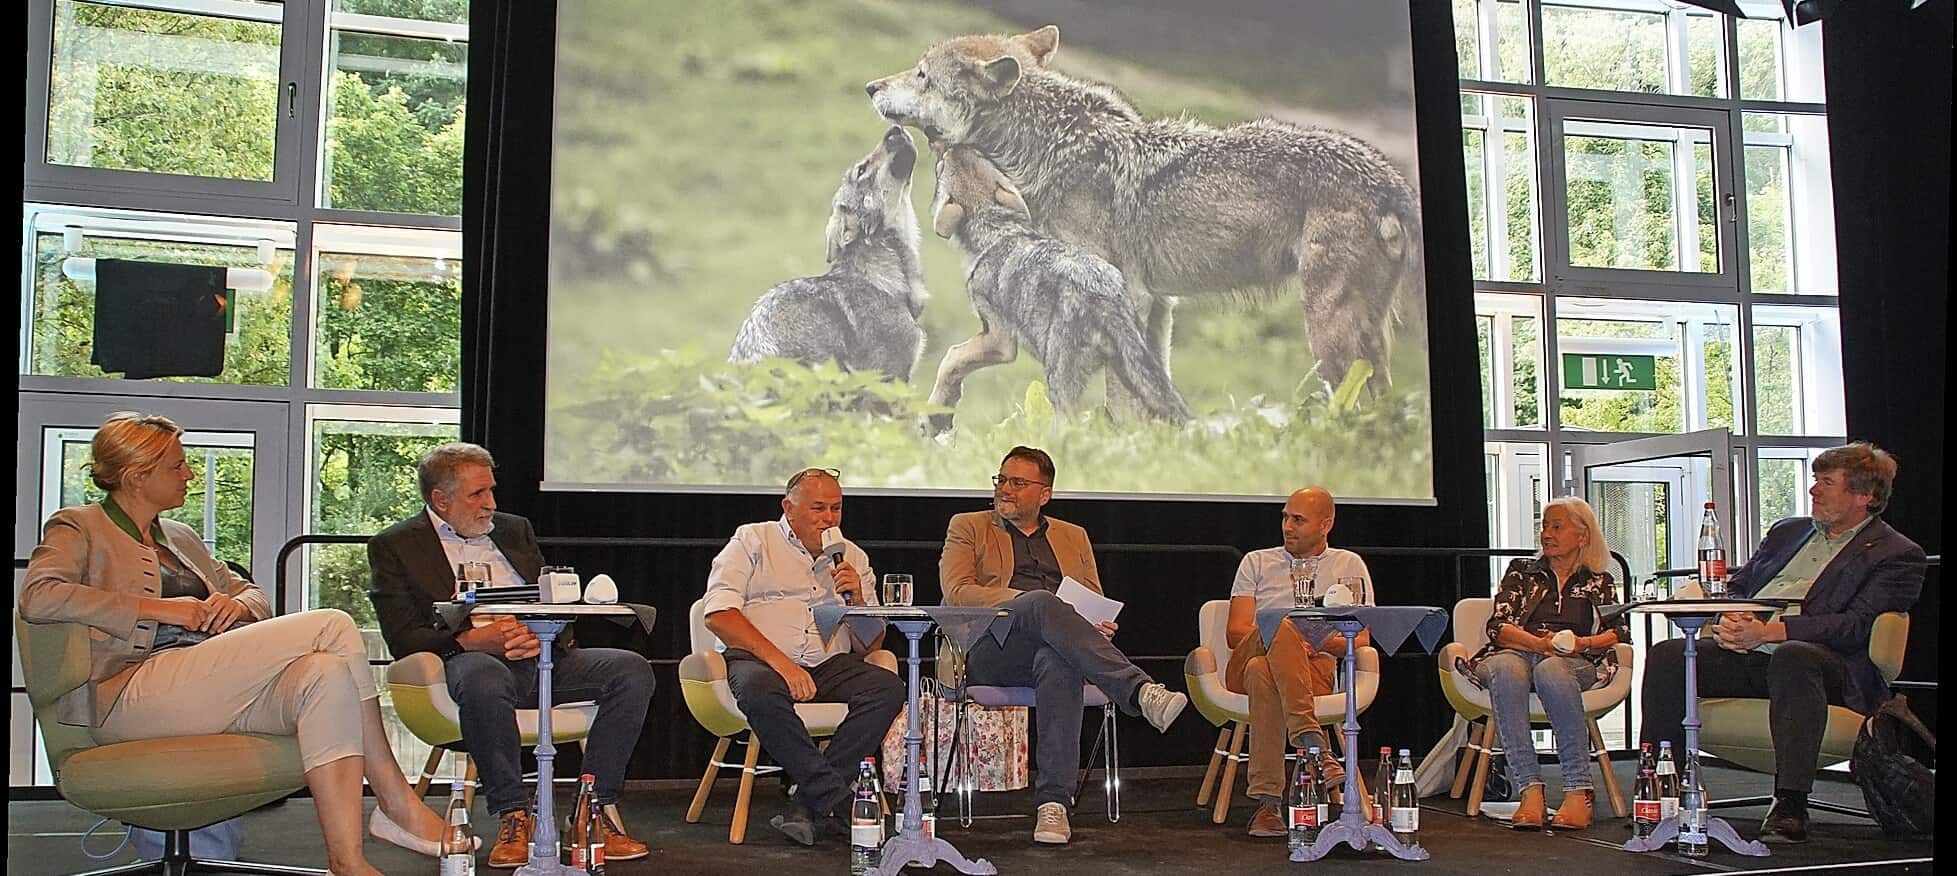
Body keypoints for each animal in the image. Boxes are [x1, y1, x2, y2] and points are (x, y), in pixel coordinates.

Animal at [867, 26, 1425, 396]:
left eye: (921, 75)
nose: (871, 87)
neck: (1046, 146)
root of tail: (1392, 180)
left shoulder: (1126, 295)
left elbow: (1120, 392)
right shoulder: (1157, 304)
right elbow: (1147, 382)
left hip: (1329, 335)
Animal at [927, 144, 1191, 426]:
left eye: (940, 168)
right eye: (979, 155)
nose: (951, 146)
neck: (997, 229)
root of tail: (1104, 297)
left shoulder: (999, 340)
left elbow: (951, 358)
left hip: (1058, 378)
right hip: (1134, 367)